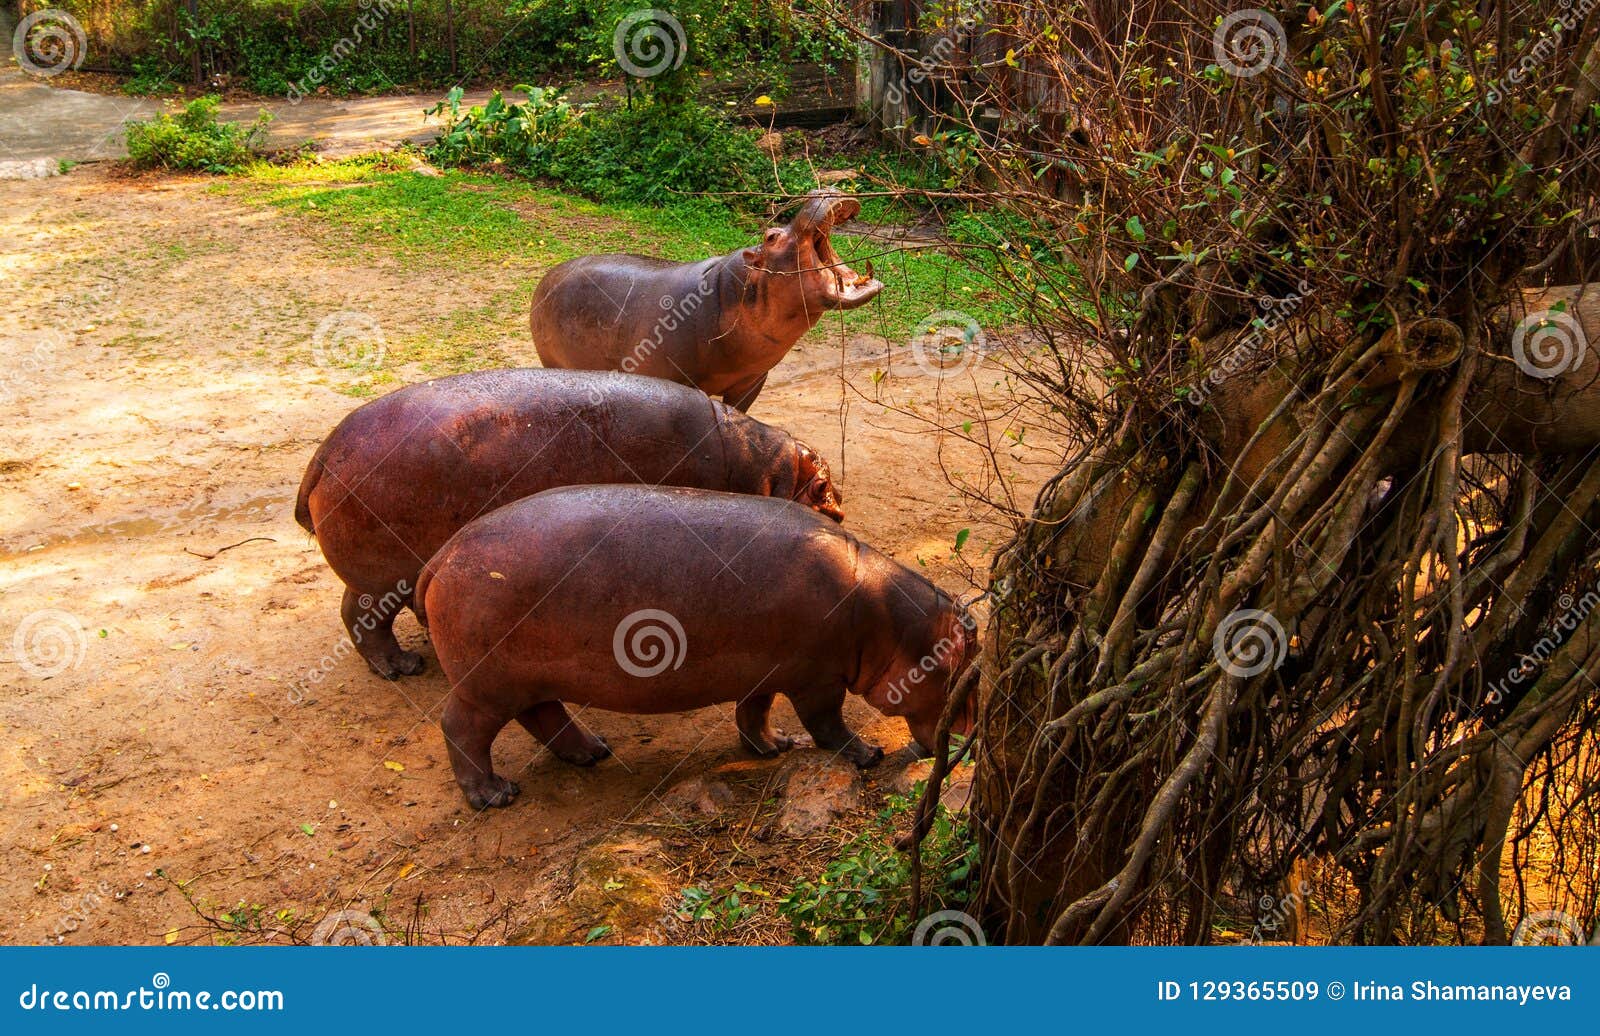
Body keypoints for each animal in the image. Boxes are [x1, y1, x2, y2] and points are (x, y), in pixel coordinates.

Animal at [294, 370, 843, 681]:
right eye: (824, 492)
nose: (840, 517)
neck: (767, 467)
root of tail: (323, 454)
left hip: (379, 575)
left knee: (352, 613)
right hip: (384, 577)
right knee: (365, 621)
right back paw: (402, 669)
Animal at [415, 485, 977, 809]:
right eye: (962, 675)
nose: (970, 740)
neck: (887, 621)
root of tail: (442, 556)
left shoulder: (765, 669)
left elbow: (753, 711)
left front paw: (772, 747)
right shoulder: (816, 678)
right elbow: (827, 724)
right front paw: (867, 754)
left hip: (526, 677)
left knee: (545, 715)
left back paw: (595, 752)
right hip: (486, 687)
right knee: (461, 730)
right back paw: (495, 796)